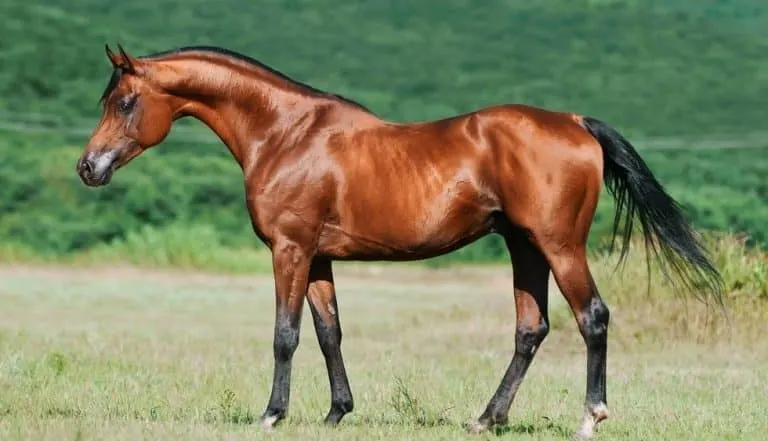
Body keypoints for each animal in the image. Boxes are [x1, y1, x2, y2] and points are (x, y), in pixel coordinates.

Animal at [76, 44, 723, 439]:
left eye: (125, 102)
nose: (89, 167)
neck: (285, 133)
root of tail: (574, 122)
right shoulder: (318, 257)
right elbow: (329, 333)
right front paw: (336, 413)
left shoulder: (289, 250)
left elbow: (286, 335)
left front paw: (272, 414)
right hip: (524, 248)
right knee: (531, 329)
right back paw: (486, 419)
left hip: (559, 246)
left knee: (592, 317)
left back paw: (589, 418)